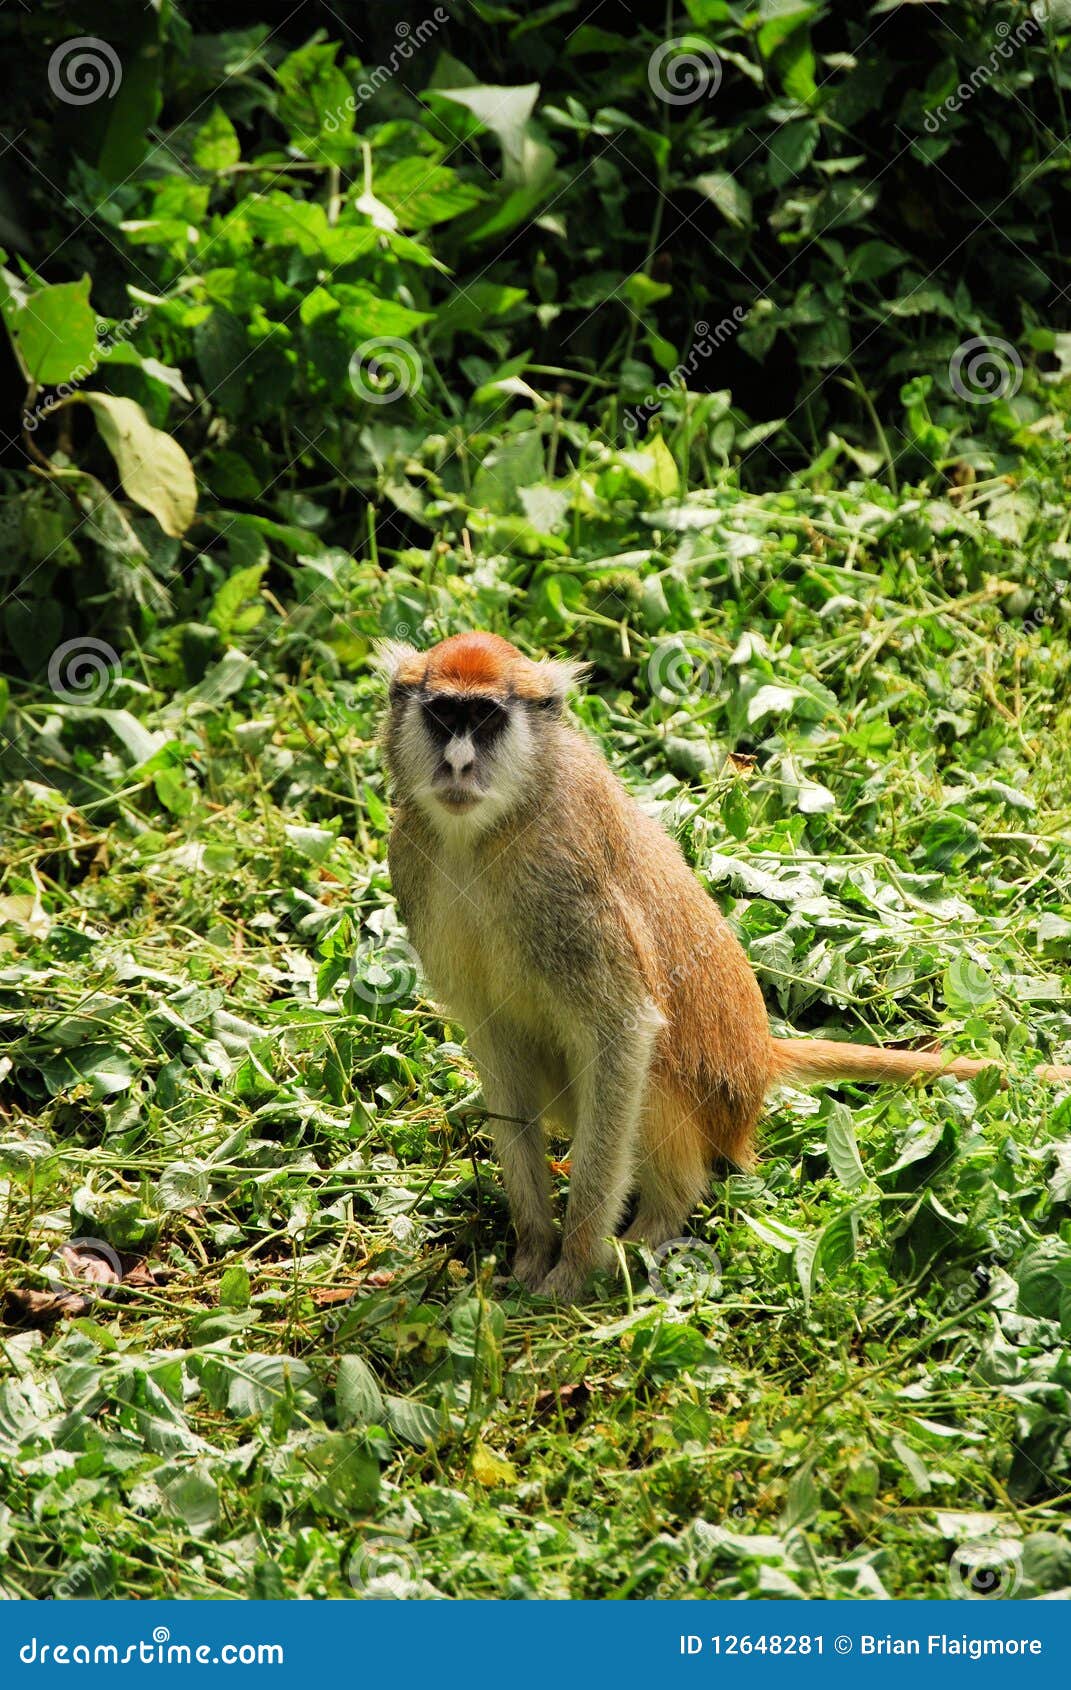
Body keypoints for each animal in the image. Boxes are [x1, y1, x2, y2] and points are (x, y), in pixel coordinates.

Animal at [380, 630, 1071, 1302]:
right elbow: (494, 1039)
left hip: (712, 1100)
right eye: (444, 716)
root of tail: (759, 1059)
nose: (458, 762)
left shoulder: (565, 885)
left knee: (654, 1076)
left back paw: (655, 1227)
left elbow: (624, 1032)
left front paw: (572, 1267)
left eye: (485, 719)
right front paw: (530, 1251)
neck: (495, 826)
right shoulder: (412, 860)